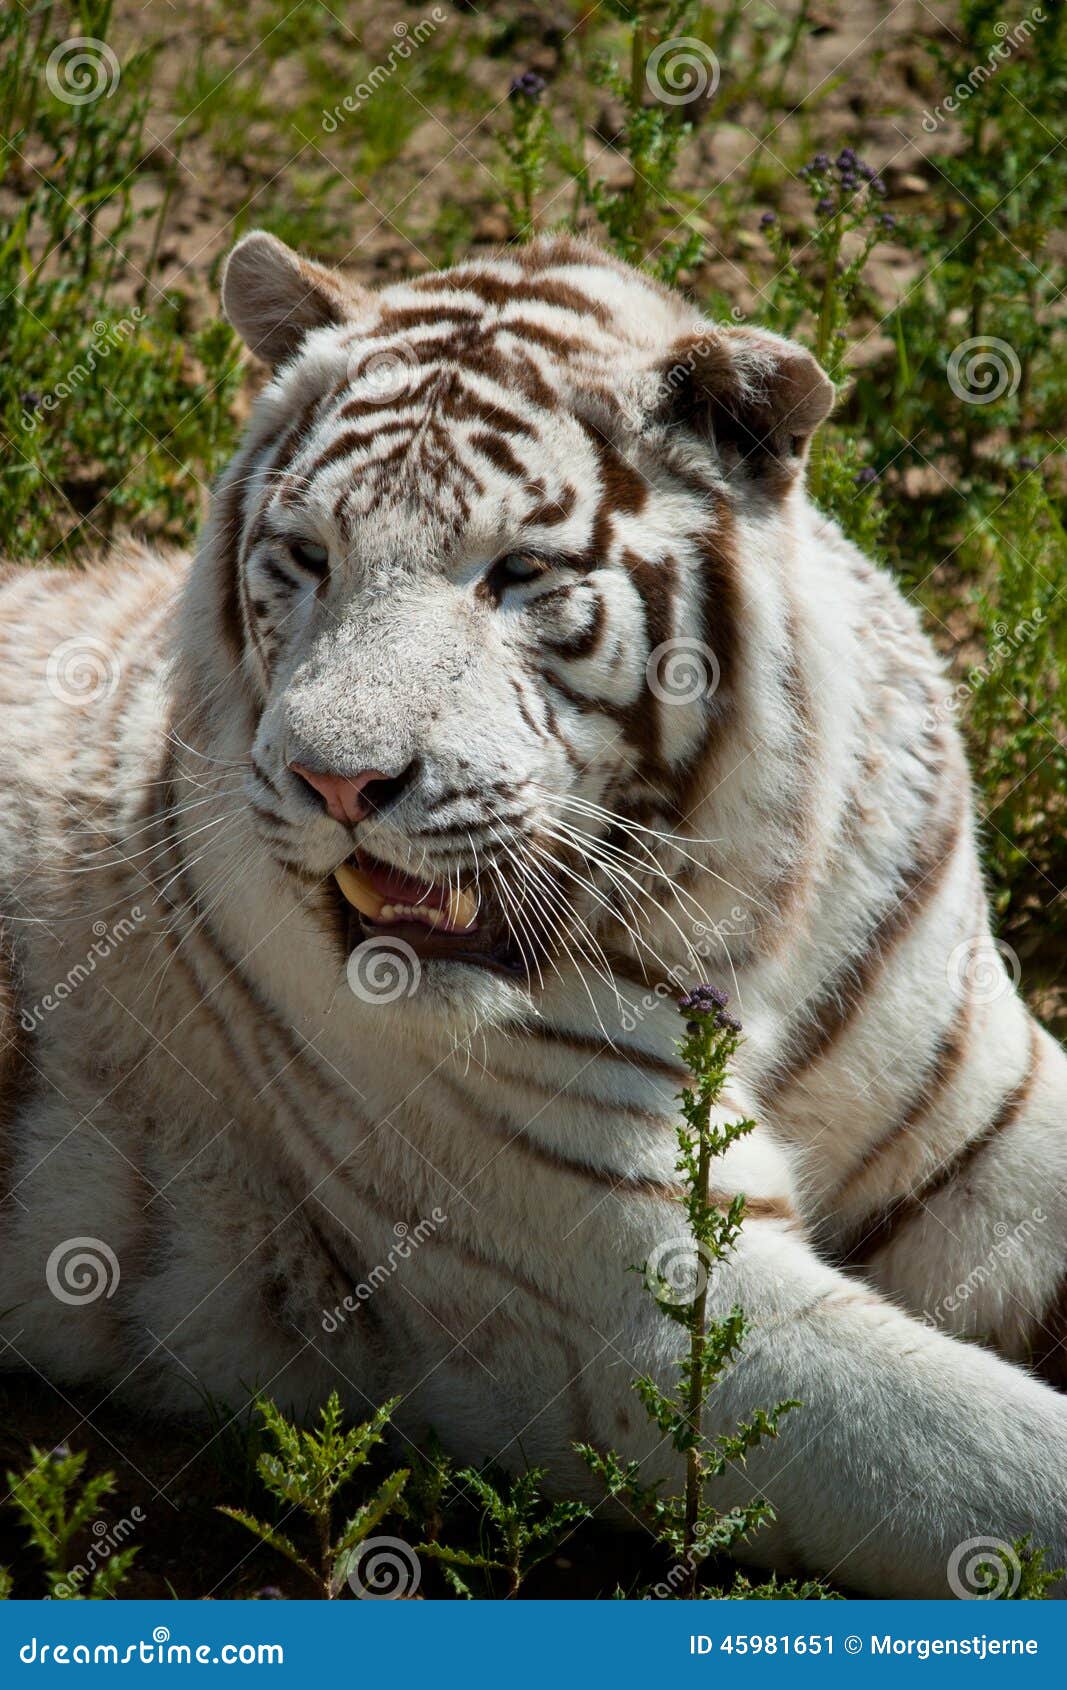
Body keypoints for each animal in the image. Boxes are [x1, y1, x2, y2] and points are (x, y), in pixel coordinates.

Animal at [1, 231, 1065, 1599]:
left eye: (517, 575)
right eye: (307, 557)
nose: (335, 782)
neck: (753, 919)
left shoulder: (985, 1121)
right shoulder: (628, 1309)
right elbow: (999, 1458)